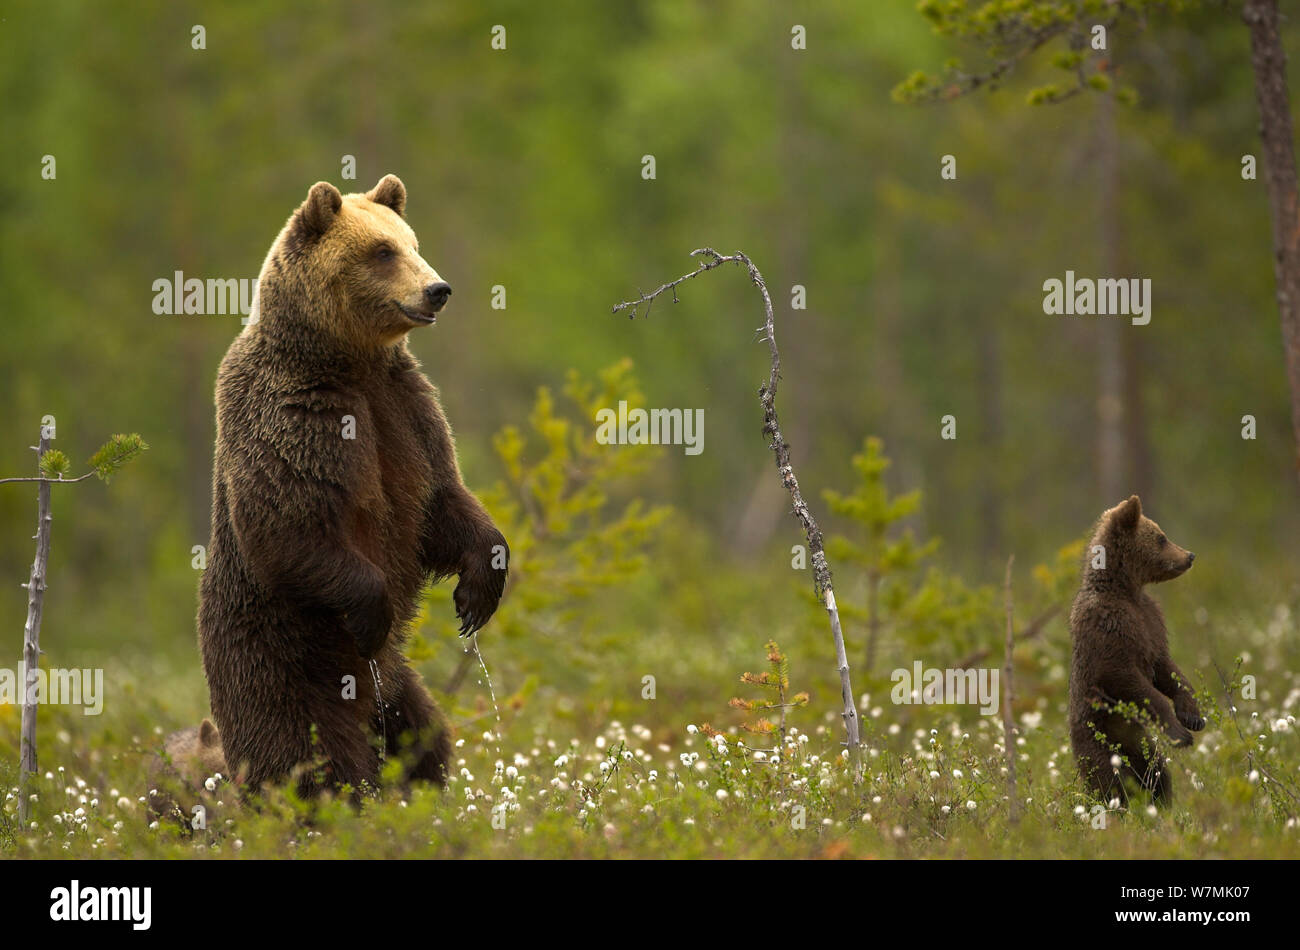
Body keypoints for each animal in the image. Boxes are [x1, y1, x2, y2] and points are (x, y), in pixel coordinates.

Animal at [198, 174, 508, 800]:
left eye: (412, 242)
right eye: (382, 251)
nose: (438, 289)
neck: (348, 361)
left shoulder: (405, 409)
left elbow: (440, 501)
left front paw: (478, 590)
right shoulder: (294, 415)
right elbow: (287, 522)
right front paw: (372, 612)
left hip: (397, 687)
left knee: (425, 737)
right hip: (281, 666)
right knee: (312, 760)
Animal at [1068, 494, 1204, 805]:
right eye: (1161, 537)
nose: (1190, 555)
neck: (1126, 589)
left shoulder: (1151, 621)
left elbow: (1166, 668)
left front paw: (1192, 716)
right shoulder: (1108, 628)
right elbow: (1126, 677)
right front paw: (1179, 733)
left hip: (1140, 745)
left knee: (1157, 775)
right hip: (1099, 739)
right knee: (1108, 783)